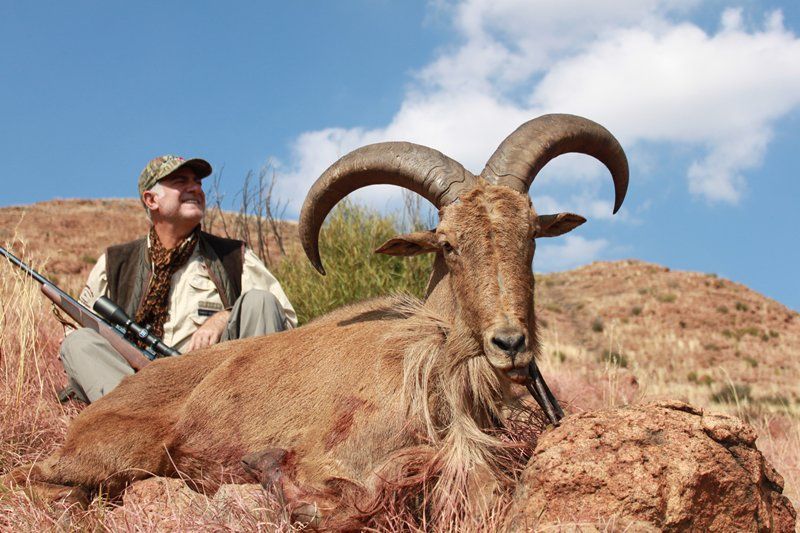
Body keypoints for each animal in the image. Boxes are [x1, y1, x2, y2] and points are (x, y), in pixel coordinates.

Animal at [3, 114, 628, 527]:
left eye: (530, 234)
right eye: (448, 243)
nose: (510, 342)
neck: (425, 368)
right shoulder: (333, 457)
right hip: (118, 451)